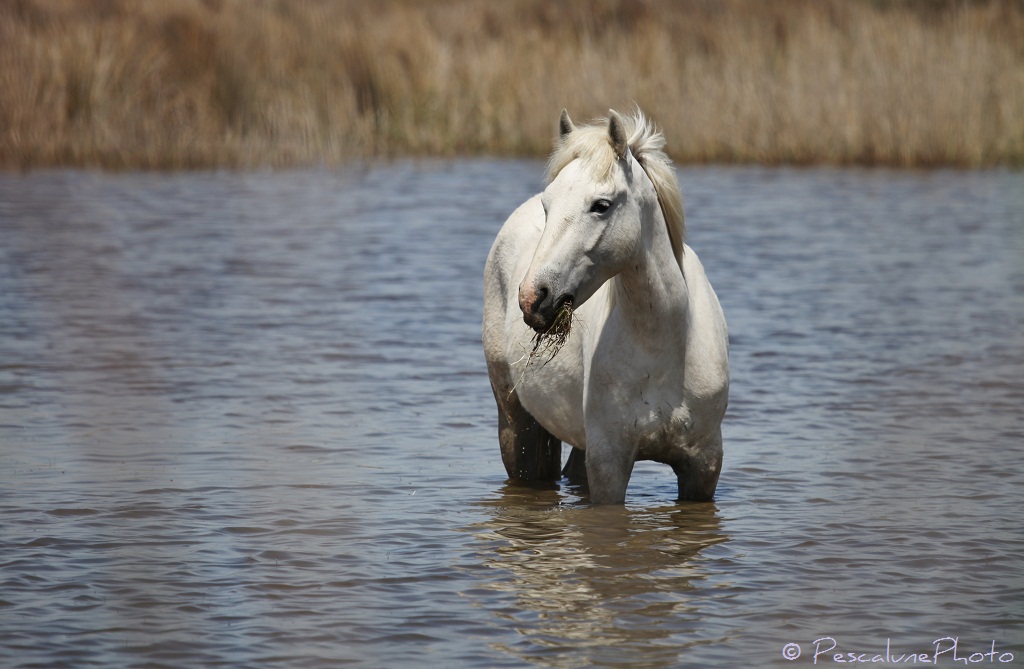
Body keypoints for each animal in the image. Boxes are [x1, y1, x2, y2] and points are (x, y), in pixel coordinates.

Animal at [482, 108, 729, 504]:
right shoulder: (609, 465)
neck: (665, 350)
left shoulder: (703, 466)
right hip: (514, 421)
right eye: (548, 206)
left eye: (601, 205)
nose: (533, 297)